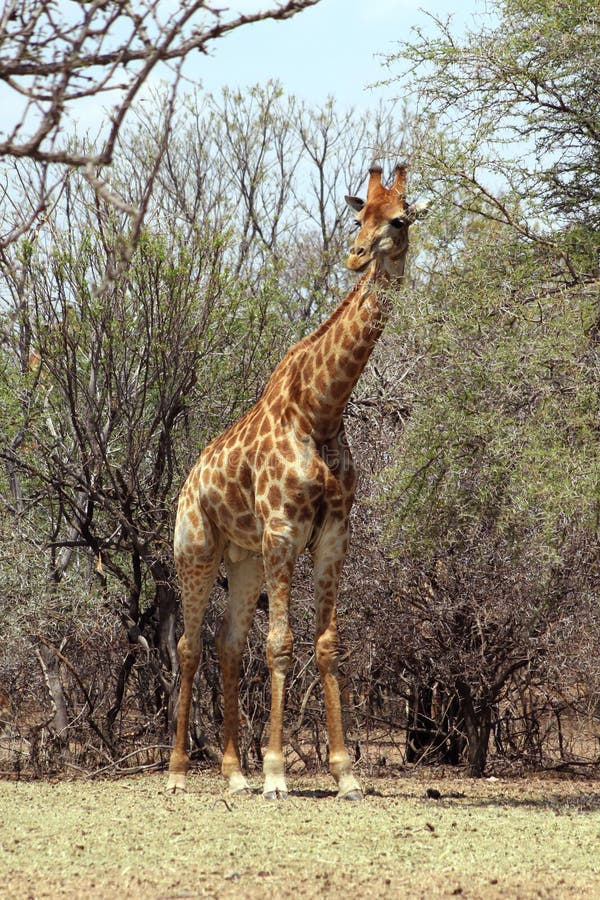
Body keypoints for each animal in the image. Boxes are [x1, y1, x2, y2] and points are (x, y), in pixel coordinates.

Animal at [167, 163, 429, 800]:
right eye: (358, 217)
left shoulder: (333, 533)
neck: (322, 411)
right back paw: (180, 772)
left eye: (398, 219)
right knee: (188, 645)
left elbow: (328, 645)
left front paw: (345, 773)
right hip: (197, 550)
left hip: (244, 560)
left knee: (228, 644)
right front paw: (277, 772)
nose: (357, 255)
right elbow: (281, 644)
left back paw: (233, 775)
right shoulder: (284, 528)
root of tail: (186, 481)